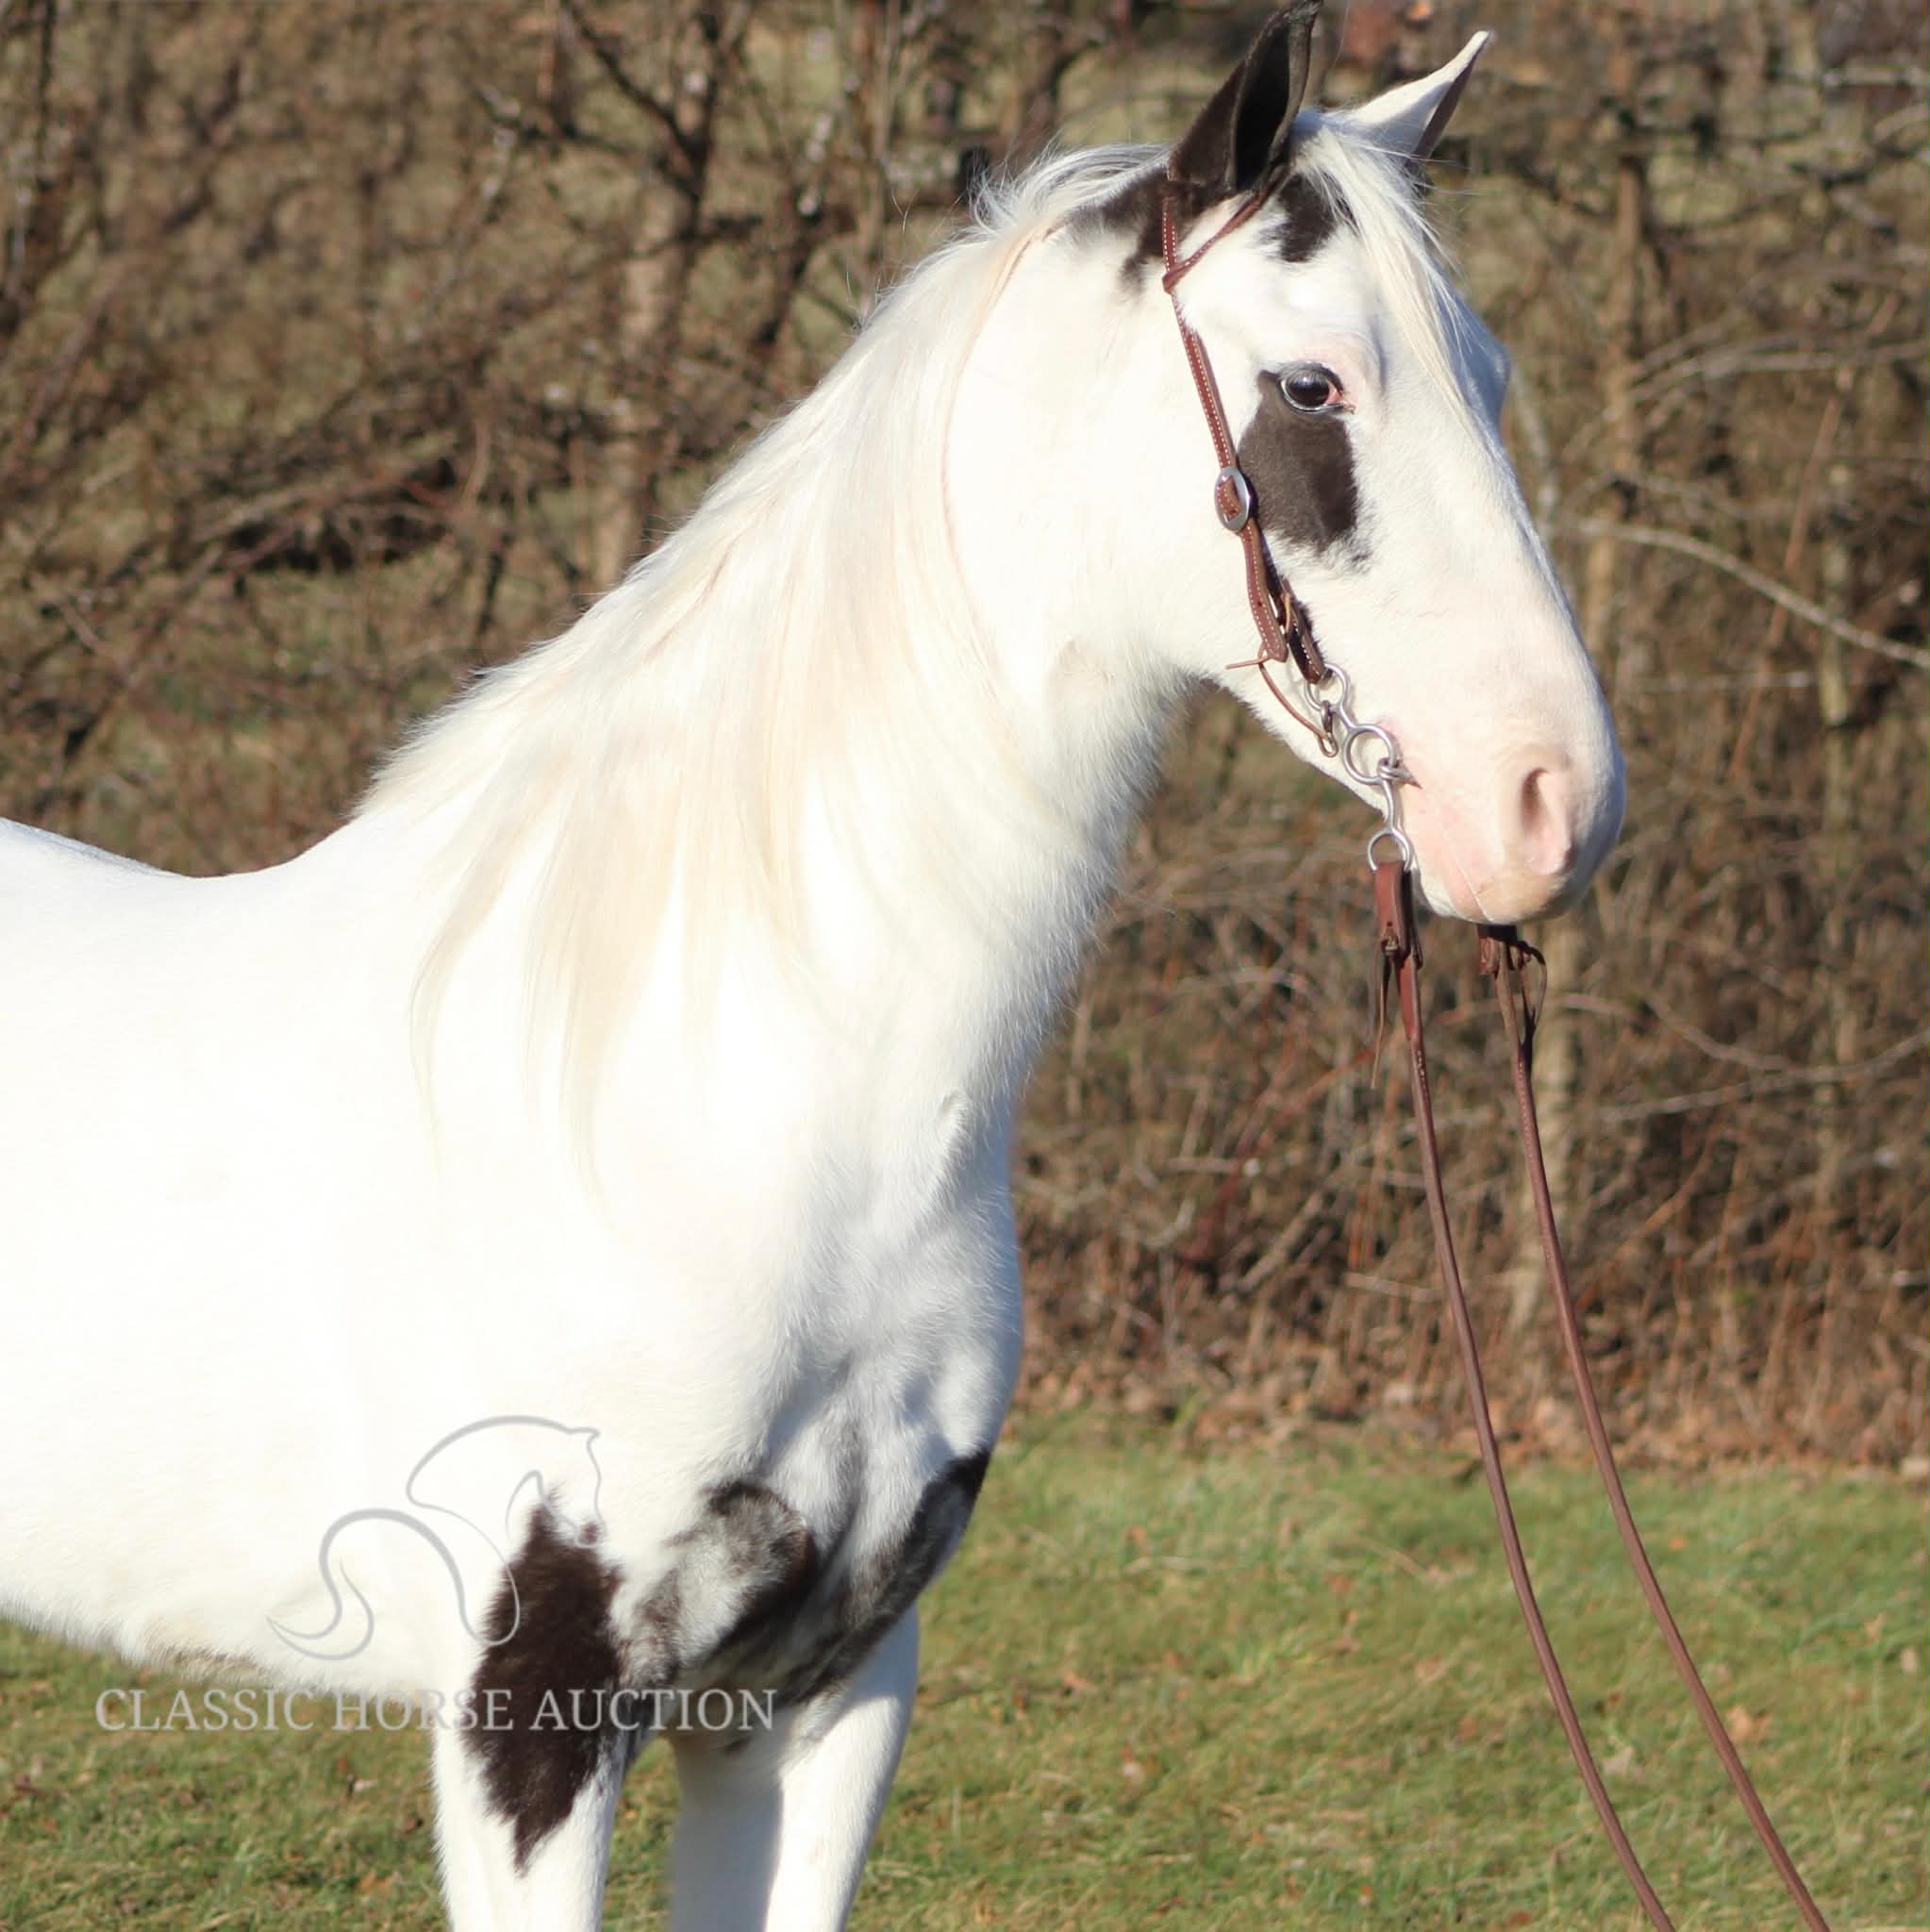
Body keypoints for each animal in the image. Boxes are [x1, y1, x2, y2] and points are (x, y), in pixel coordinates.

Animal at [0, 9, 1623, 1927]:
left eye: (1492, 379)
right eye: (1311, 387)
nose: (1549, 801)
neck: (708, 1090)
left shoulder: (826, 1693)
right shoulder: (529, 1723)